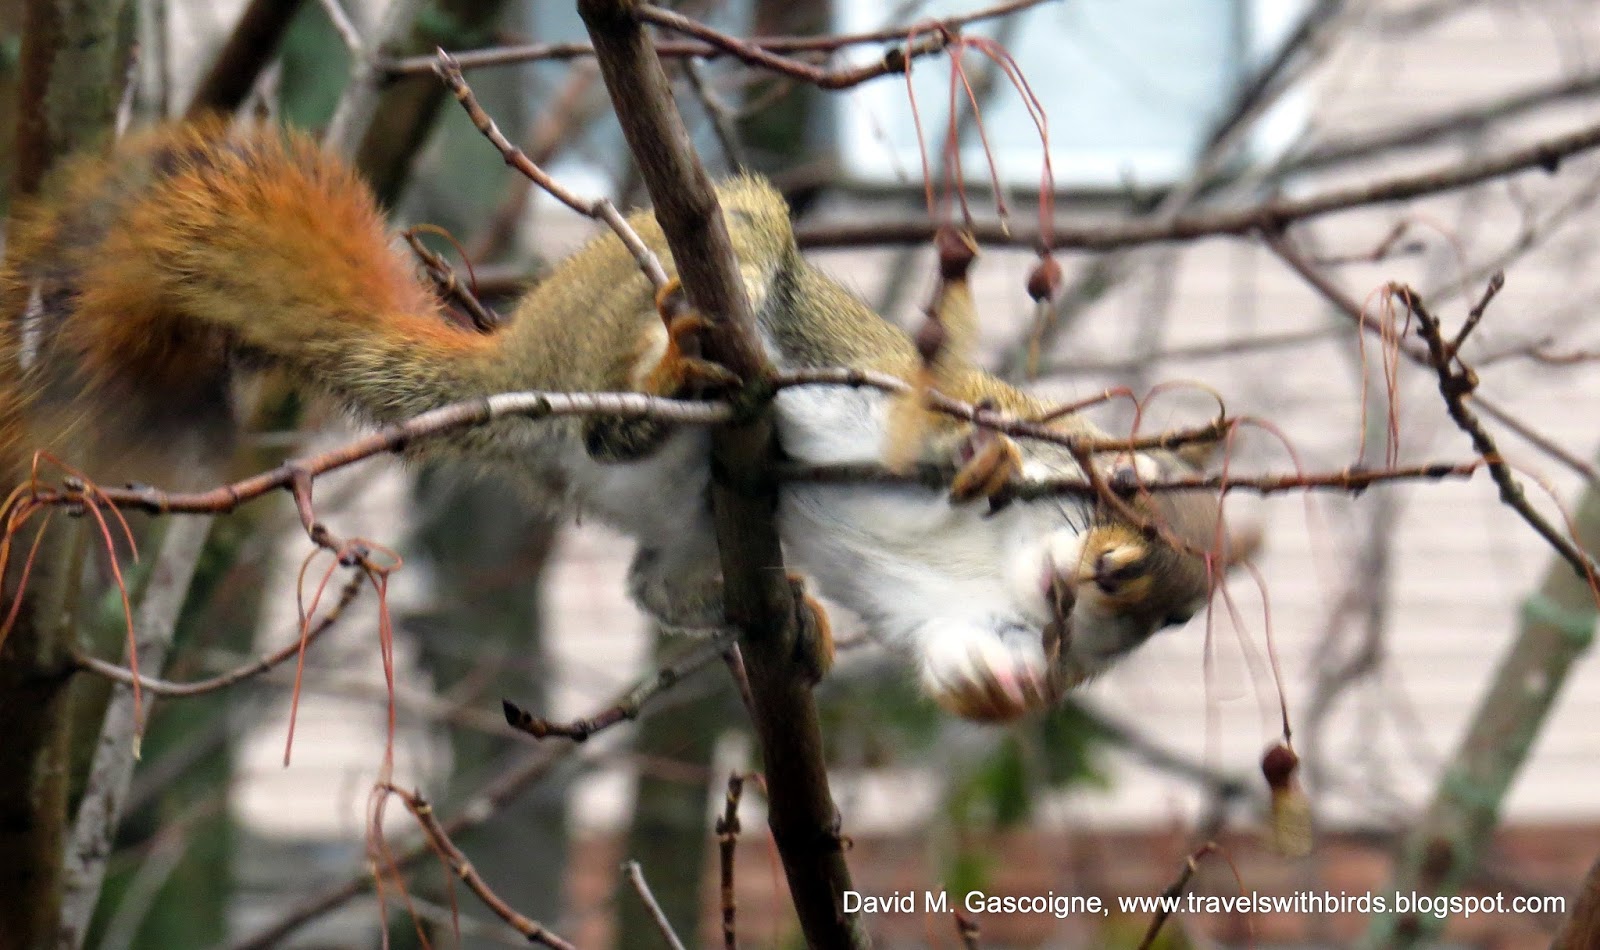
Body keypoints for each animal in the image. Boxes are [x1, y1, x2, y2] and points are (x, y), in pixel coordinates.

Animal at [0, 120, 1226, 722]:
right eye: (1130, 514)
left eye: (1168, 614)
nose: (1089, 581)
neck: (1007, 566)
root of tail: (523, 354)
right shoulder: (929, 396)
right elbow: (948, 423)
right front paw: (981, 453)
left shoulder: (979, 618)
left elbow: (960, 648)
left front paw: (996, 689)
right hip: (702, 266)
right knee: (637, 394)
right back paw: (676, 374)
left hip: (680, 526)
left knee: (648, 580)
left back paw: (784, 610)